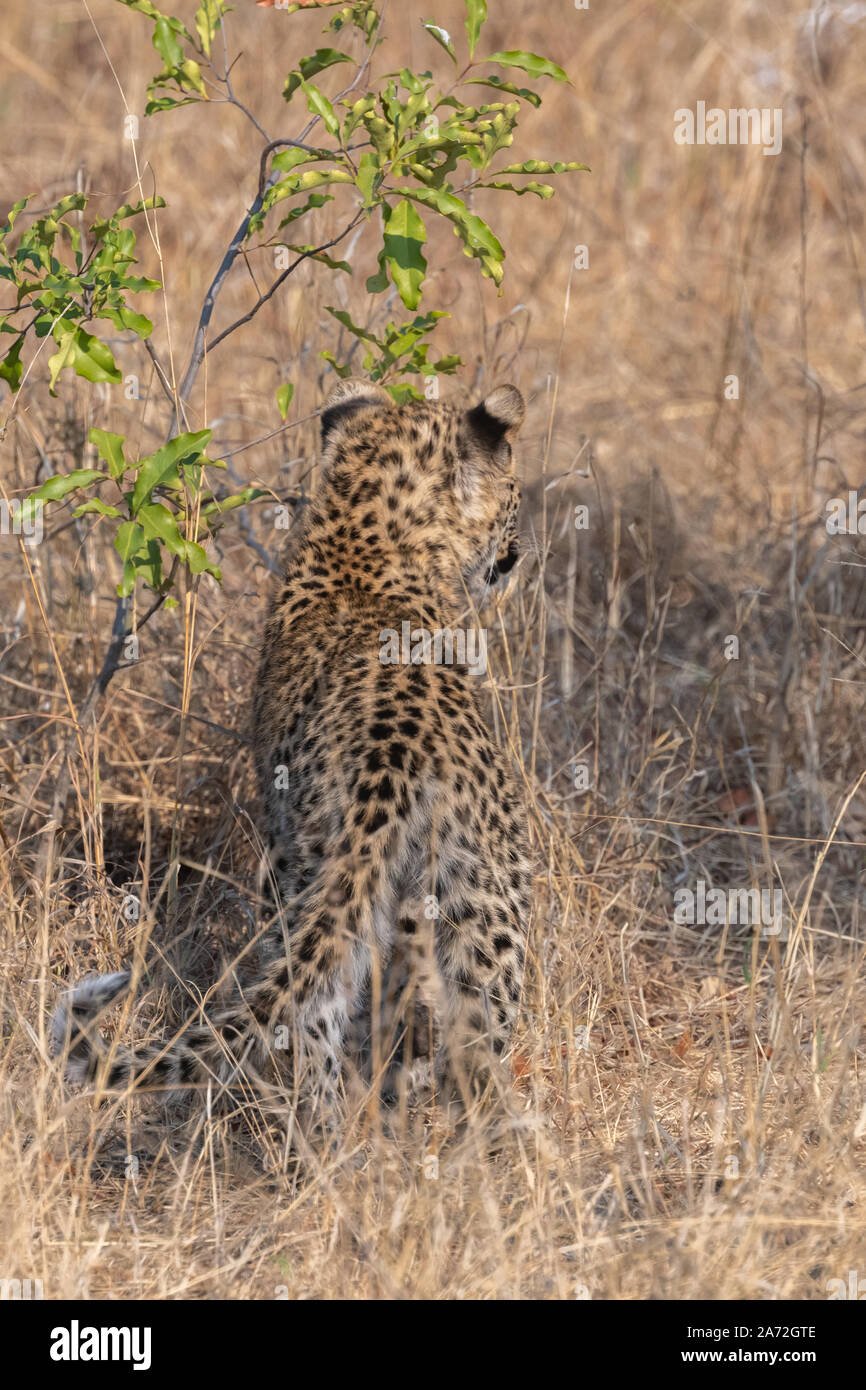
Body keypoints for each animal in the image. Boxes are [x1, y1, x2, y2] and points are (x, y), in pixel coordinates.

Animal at [51, 377, 532, 1155]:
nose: (516, 555)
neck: (368, 533)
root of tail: (394, 766)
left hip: (366, 889)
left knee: (338, 1026)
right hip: (455, 899)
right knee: (427, 1045)